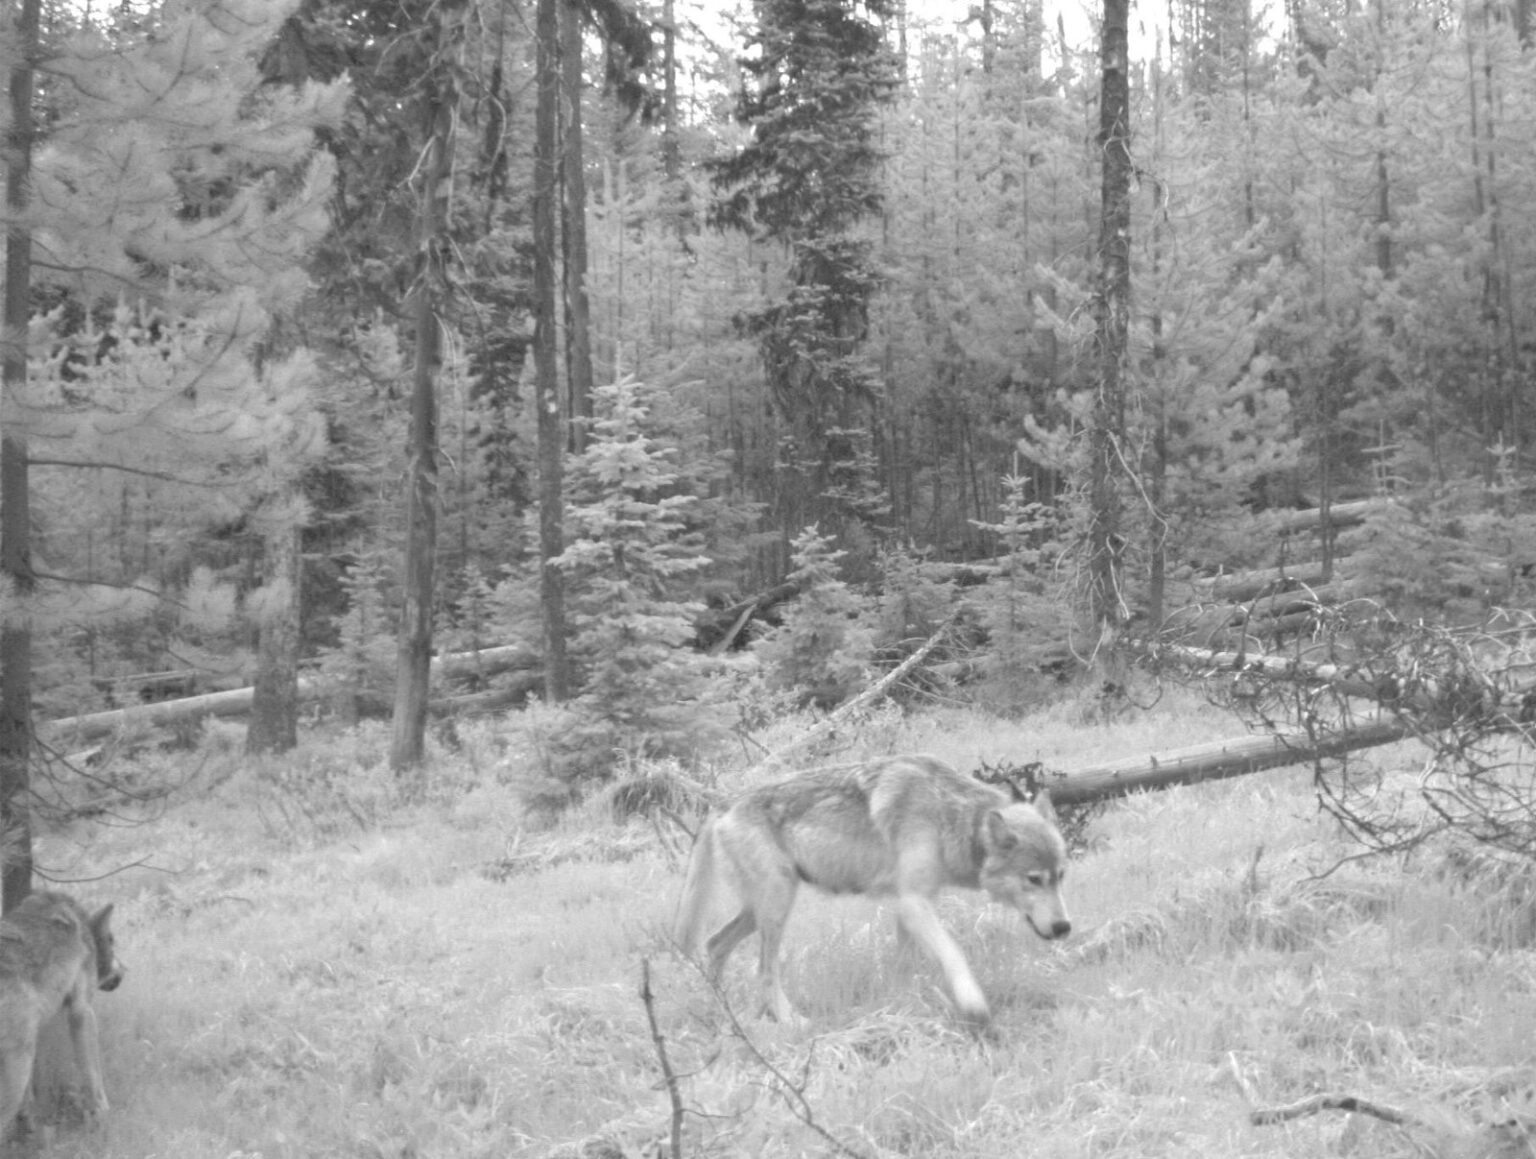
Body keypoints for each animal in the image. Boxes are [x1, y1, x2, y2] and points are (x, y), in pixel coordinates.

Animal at [0, 891, 124, 1136]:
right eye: (113, 941)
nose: (123, 972)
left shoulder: (38, 1033)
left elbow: (31, 1100)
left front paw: (33, 1128)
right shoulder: (82, 1011)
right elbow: (94, 1078)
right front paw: (103, 1119)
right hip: (18, 1066)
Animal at [673, 754, 1070, 1026]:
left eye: (1061, 876)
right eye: (1034, 879)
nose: (1064, 927)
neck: (948, 814)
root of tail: (723, 802)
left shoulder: (912, 906)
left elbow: (905, 965)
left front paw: (904, 1005)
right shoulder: (913, 903)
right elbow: (955, 954)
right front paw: (973, 1004)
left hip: (762, 910)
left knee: (714, 944)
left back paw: (728, 1017)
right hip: (776, 905)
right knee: (763, 971)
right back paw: (790, 1021)